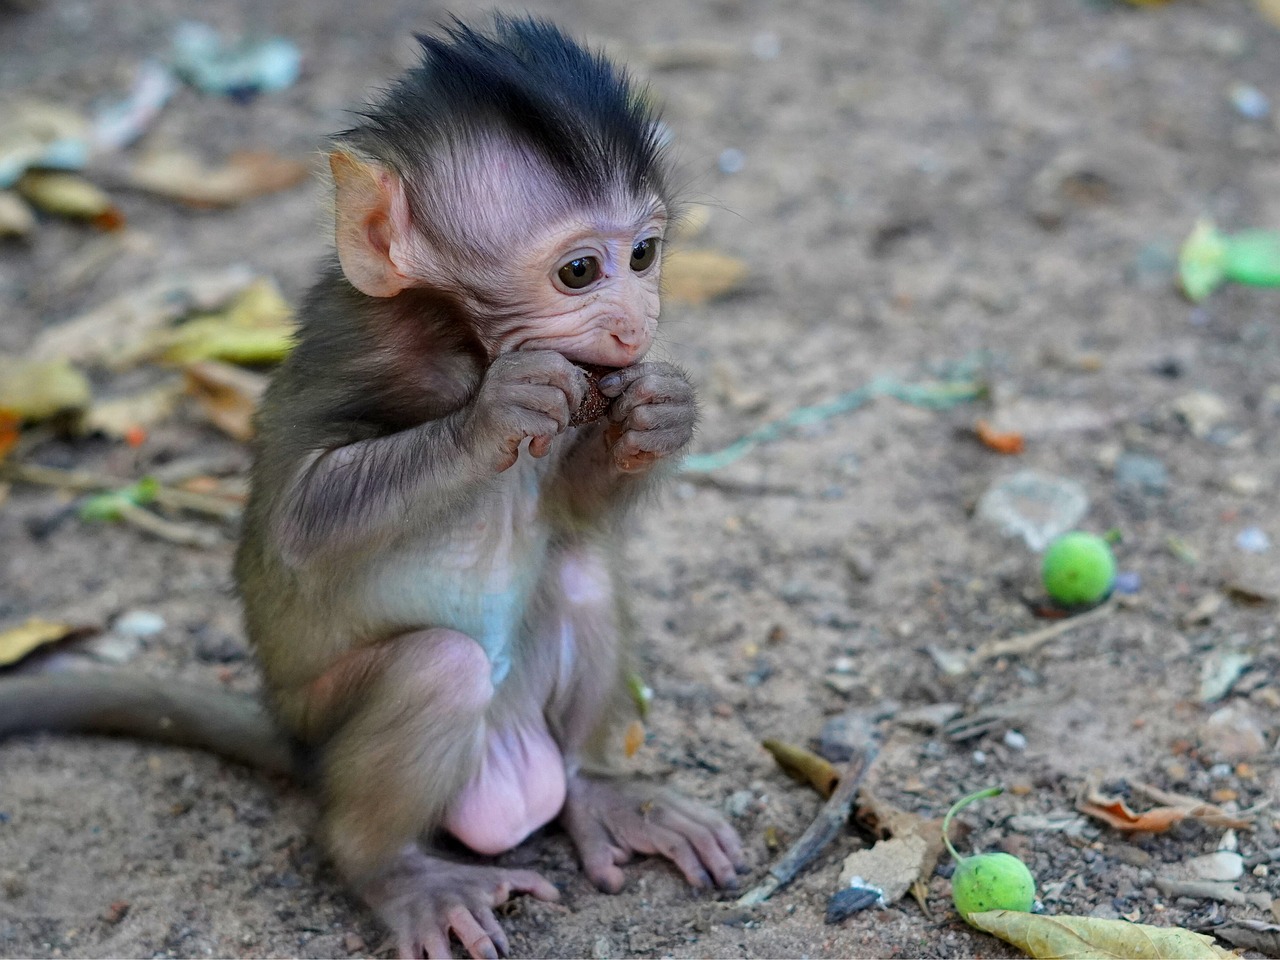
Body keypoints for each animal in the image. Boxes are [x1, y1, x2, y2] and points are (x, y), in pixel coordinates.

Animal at [0, 17, 745, 959]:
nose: (635, 322)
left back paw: (600, 791)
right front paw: (494, 416)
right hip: (331, 726)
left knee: (579, 575)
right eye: (579, 272)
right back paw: (395, 873)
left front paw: (662, 412)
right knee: (436, 670)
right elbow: (300, 522)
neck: (464, 337)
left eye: (644, 255)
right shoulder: (360, 346)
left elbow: (572, 510)